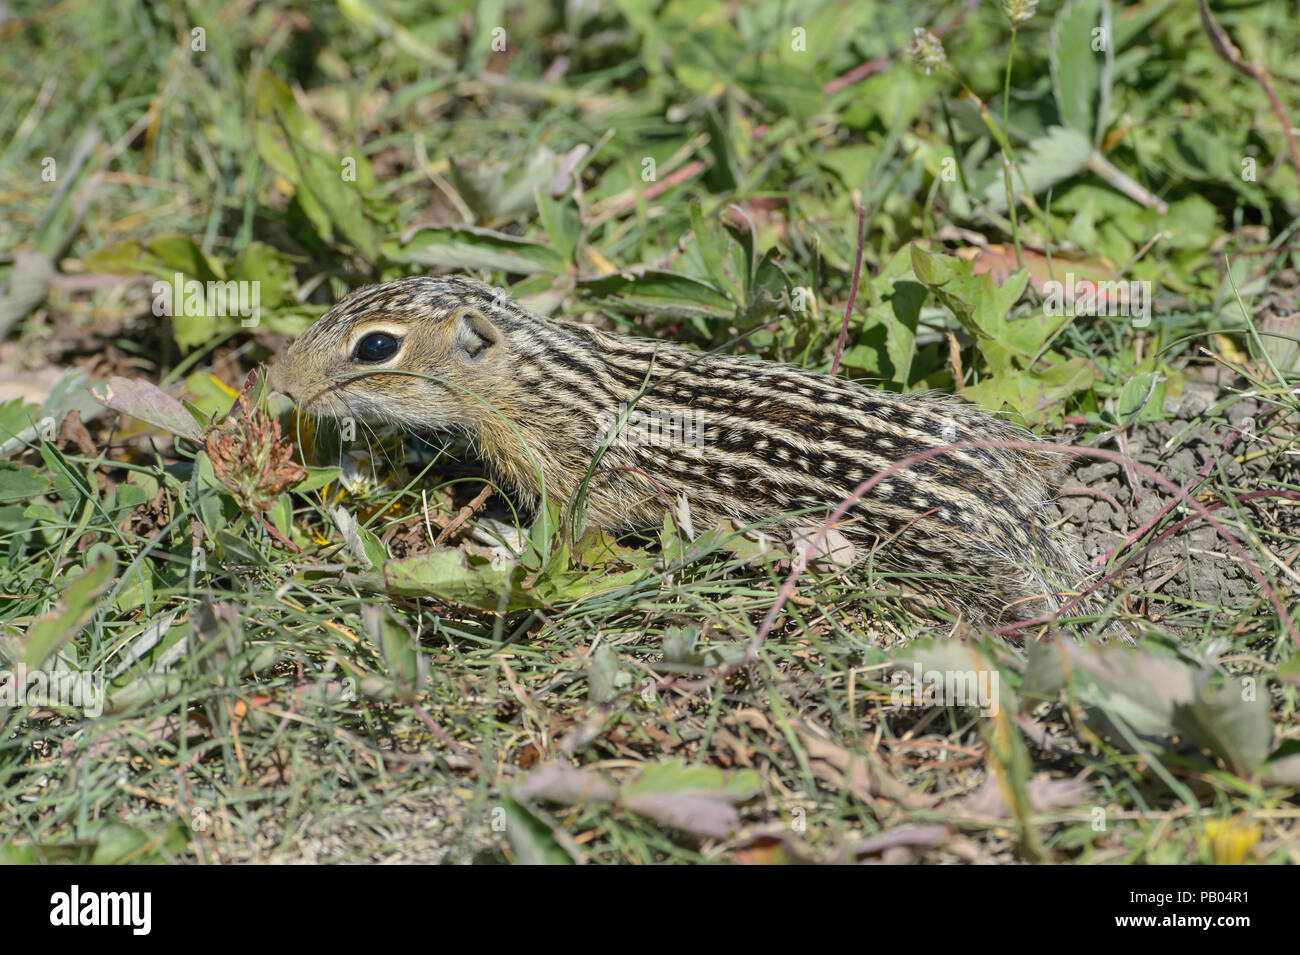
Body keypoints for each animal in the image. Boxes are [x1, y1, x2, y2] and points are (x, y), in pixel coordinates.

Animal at [268, 274, 1098, 630]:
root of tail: (1014, 517)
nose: (277, 381)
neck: (548, 381)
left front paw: (497, 541)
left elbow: (566, 541)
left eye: (376, 347)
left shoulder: (586, 482)